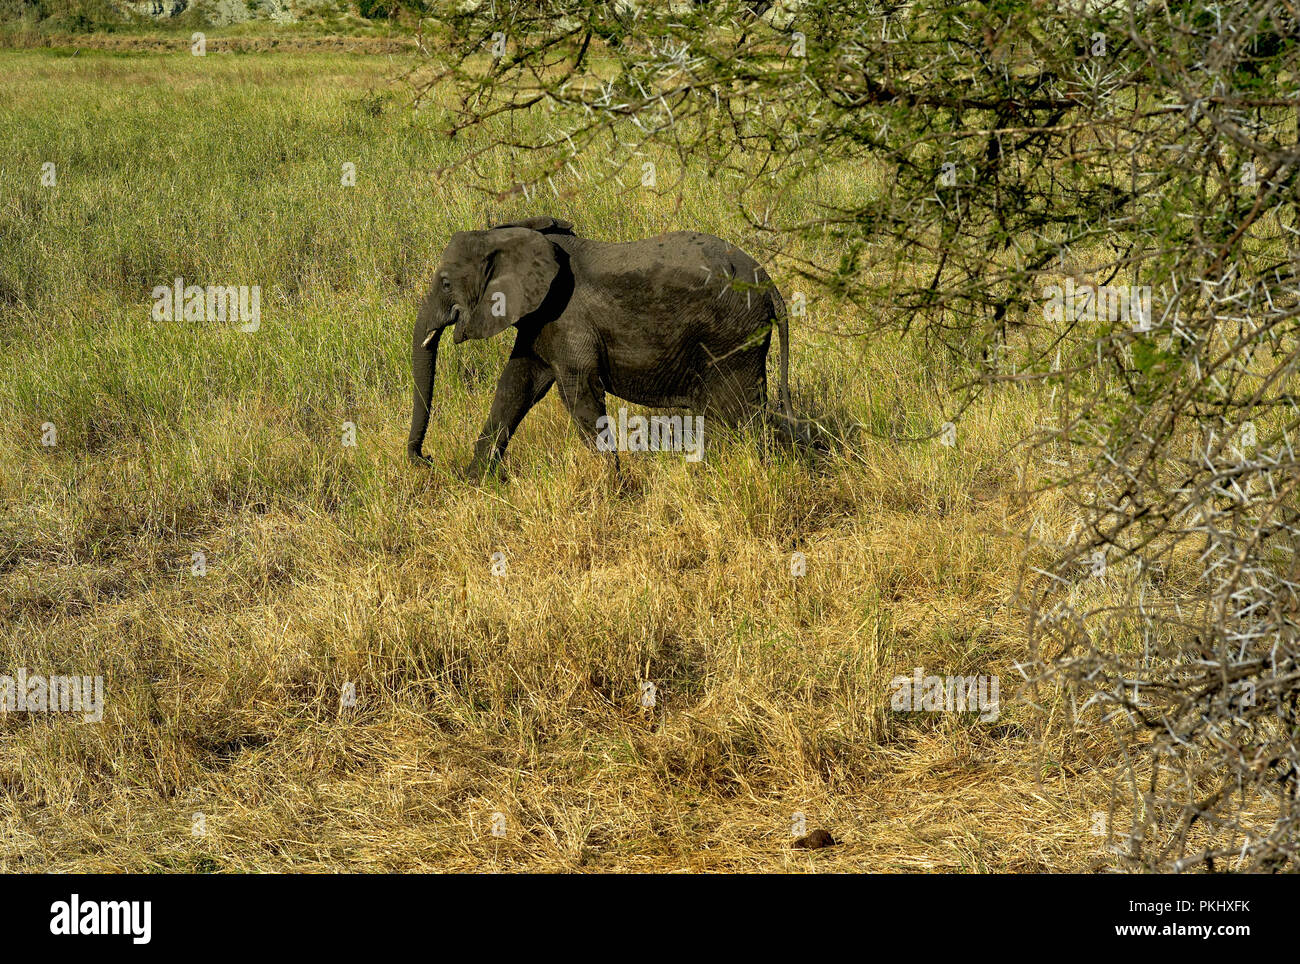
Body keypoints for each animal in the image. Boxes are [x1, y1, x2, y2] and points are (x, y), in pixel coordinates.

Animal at [407, 216, 793, 478]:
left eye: (445, 283)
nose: (427, 459)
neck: (505, 235)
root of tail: (767, 280)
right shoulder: (540, 320)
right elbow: (516, 386)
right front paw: (475, 482)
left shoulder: (566, 317)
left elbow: (578, 391)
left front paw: (616, 488)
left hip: (731, 335)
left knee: (739, 412)